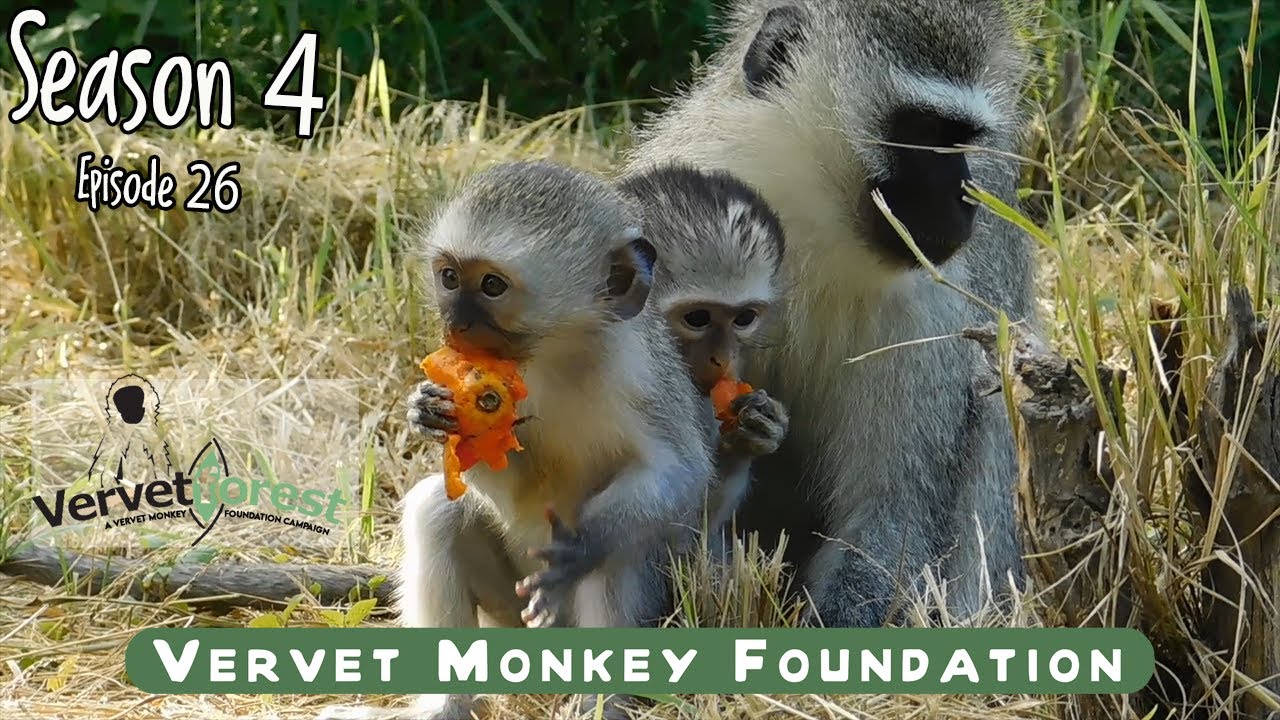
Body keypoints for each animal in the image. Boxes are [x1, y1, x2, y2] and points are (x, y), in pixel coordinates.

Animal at [398, 160, 715, 720]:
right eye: (450, 277)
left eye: (493, 286)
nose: (455, 324)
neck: (554, 357)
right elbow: (513, 494)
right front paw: (429, 411)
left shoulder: (642, 376)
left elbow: (679, 473)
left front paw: (582, 545)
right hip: (509, 618)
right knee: (436, 510)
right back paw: (447, 705)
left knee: (618, 555)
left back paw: (600, 702)